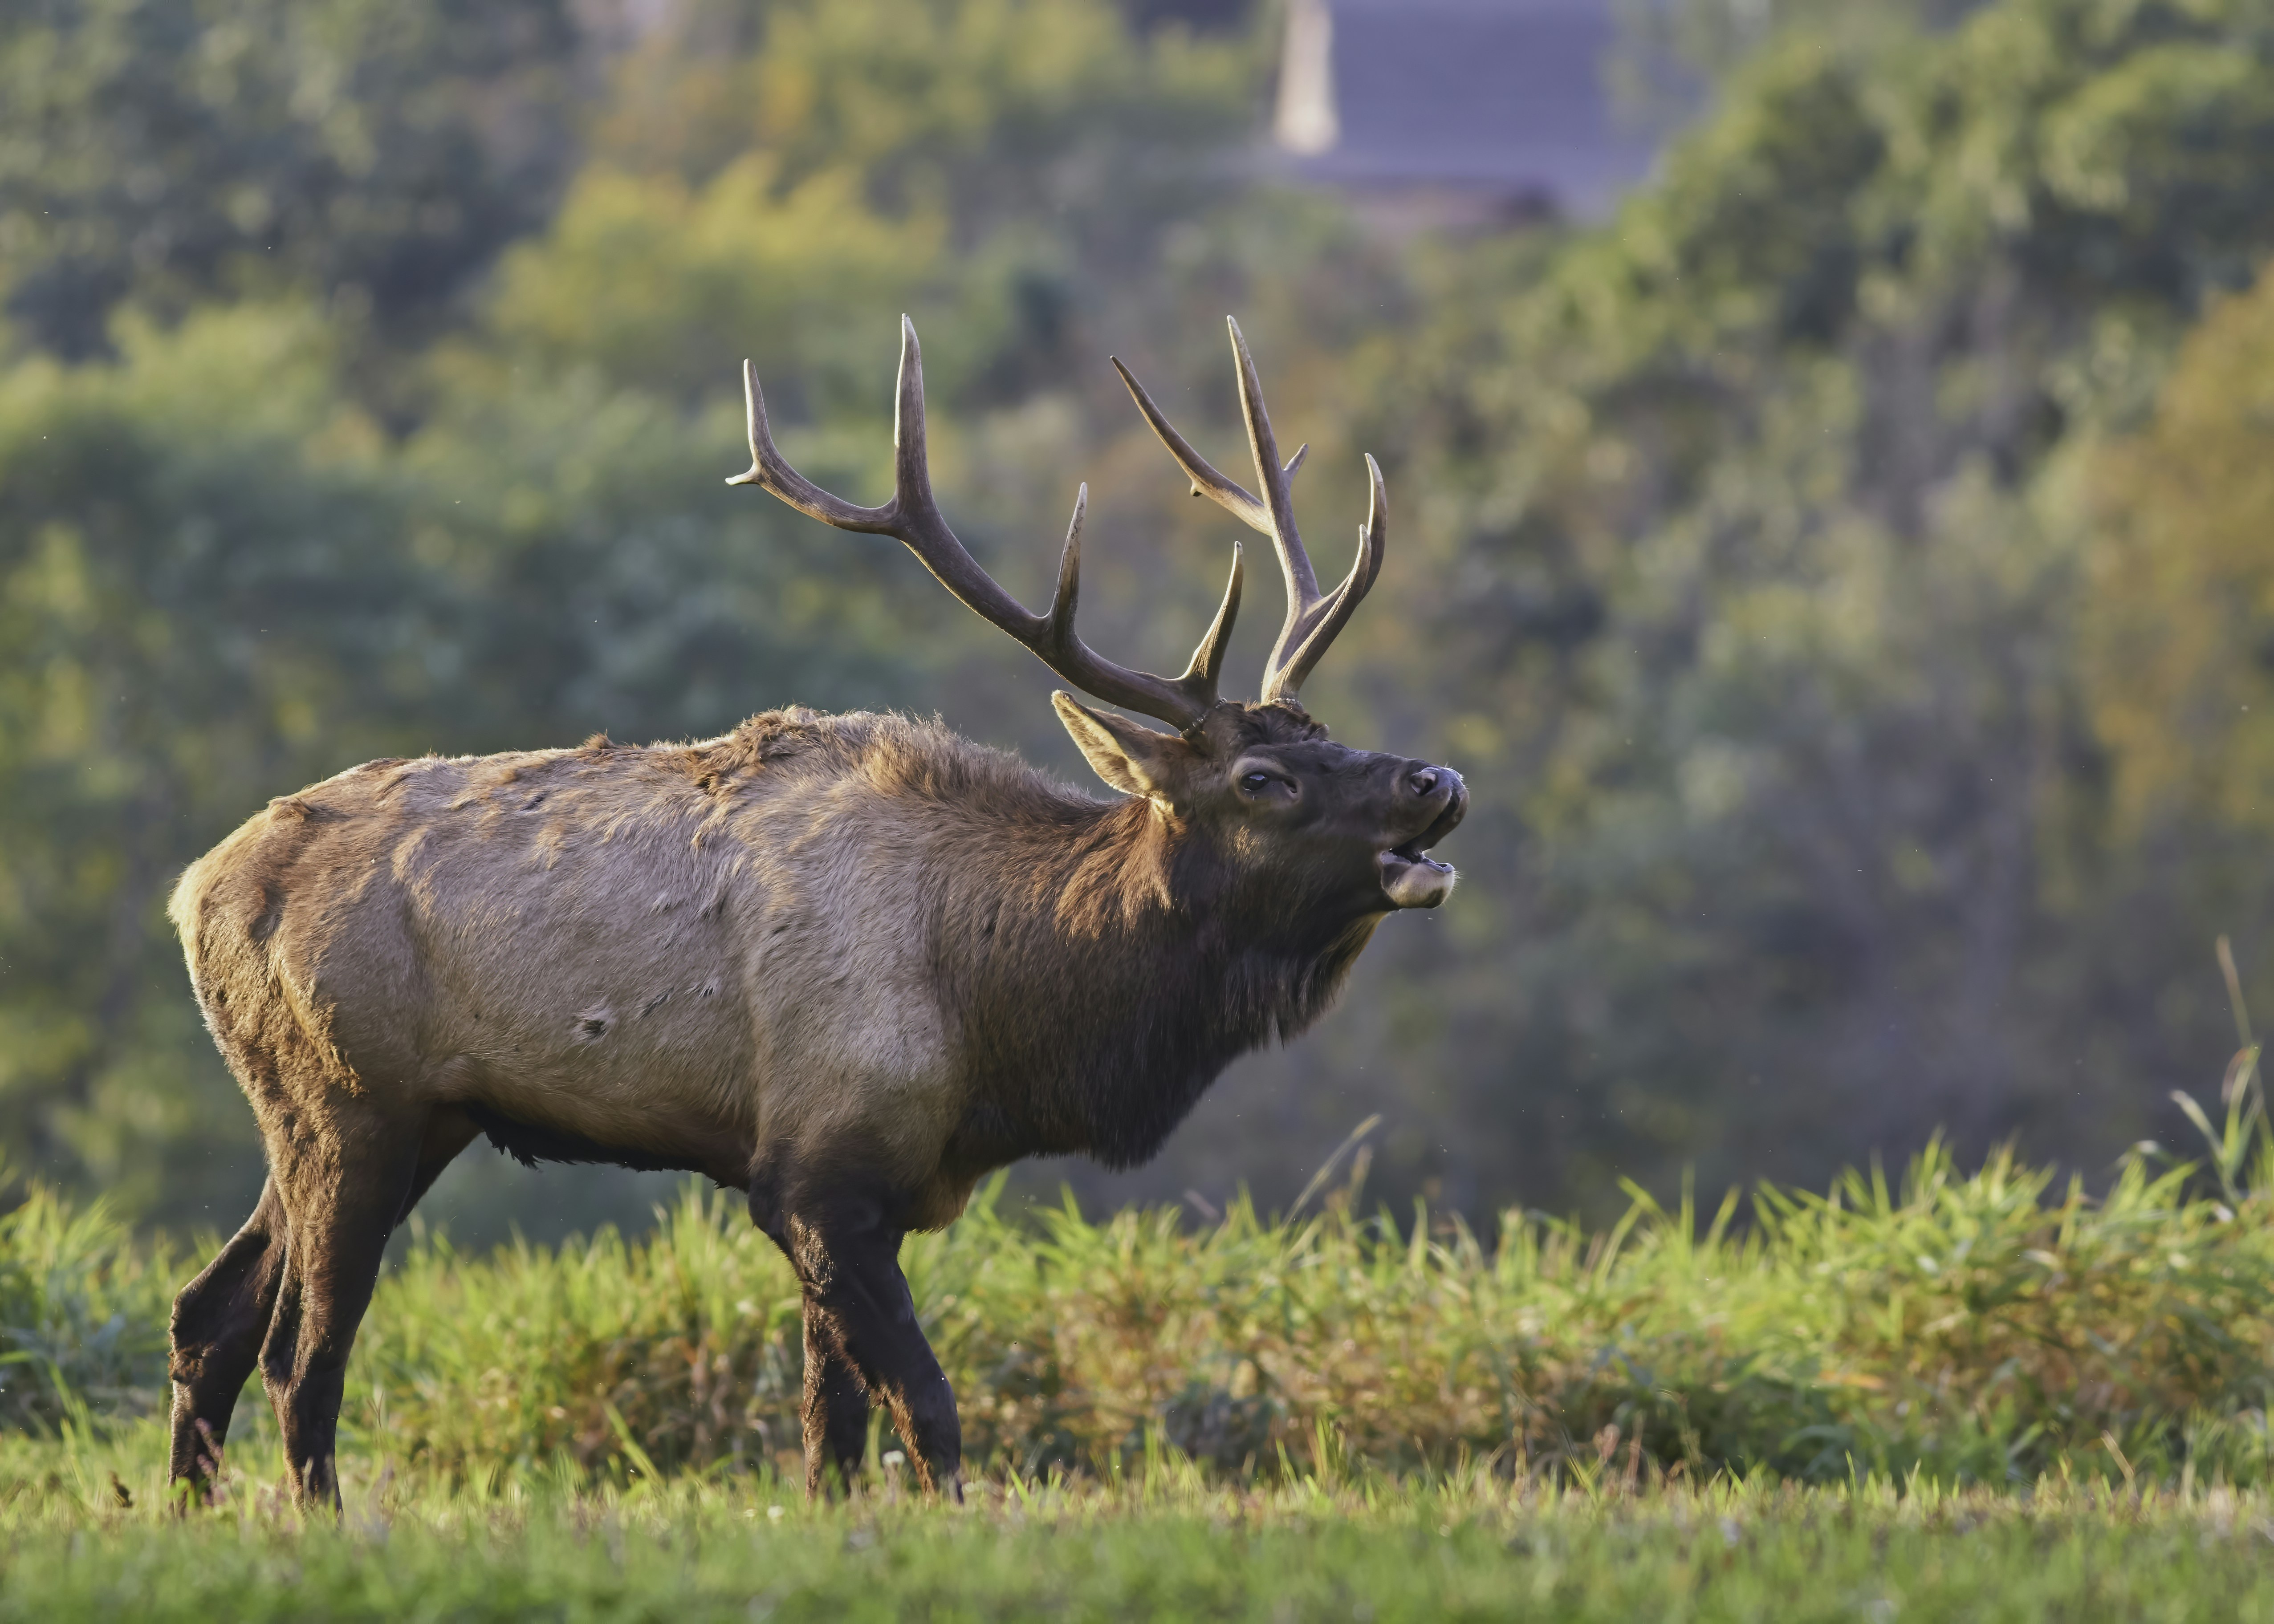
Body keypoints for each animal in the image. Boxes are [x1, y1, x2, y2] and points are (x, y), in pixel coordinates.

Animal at [163, 316, 1465, 1509]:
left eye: (1330, 735)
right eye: (1261, 779)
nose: (1436, 781)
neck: (1002, 1021)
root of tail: (194, 892)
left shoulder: (852, 1190)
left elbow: (827, 1432)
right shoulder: (814, 1171)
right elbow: (924, 1410)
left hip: (382, 1113)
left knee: (207, 1313)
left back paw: (189, 1511)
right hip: (350, 1099)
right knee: (300, 1356)